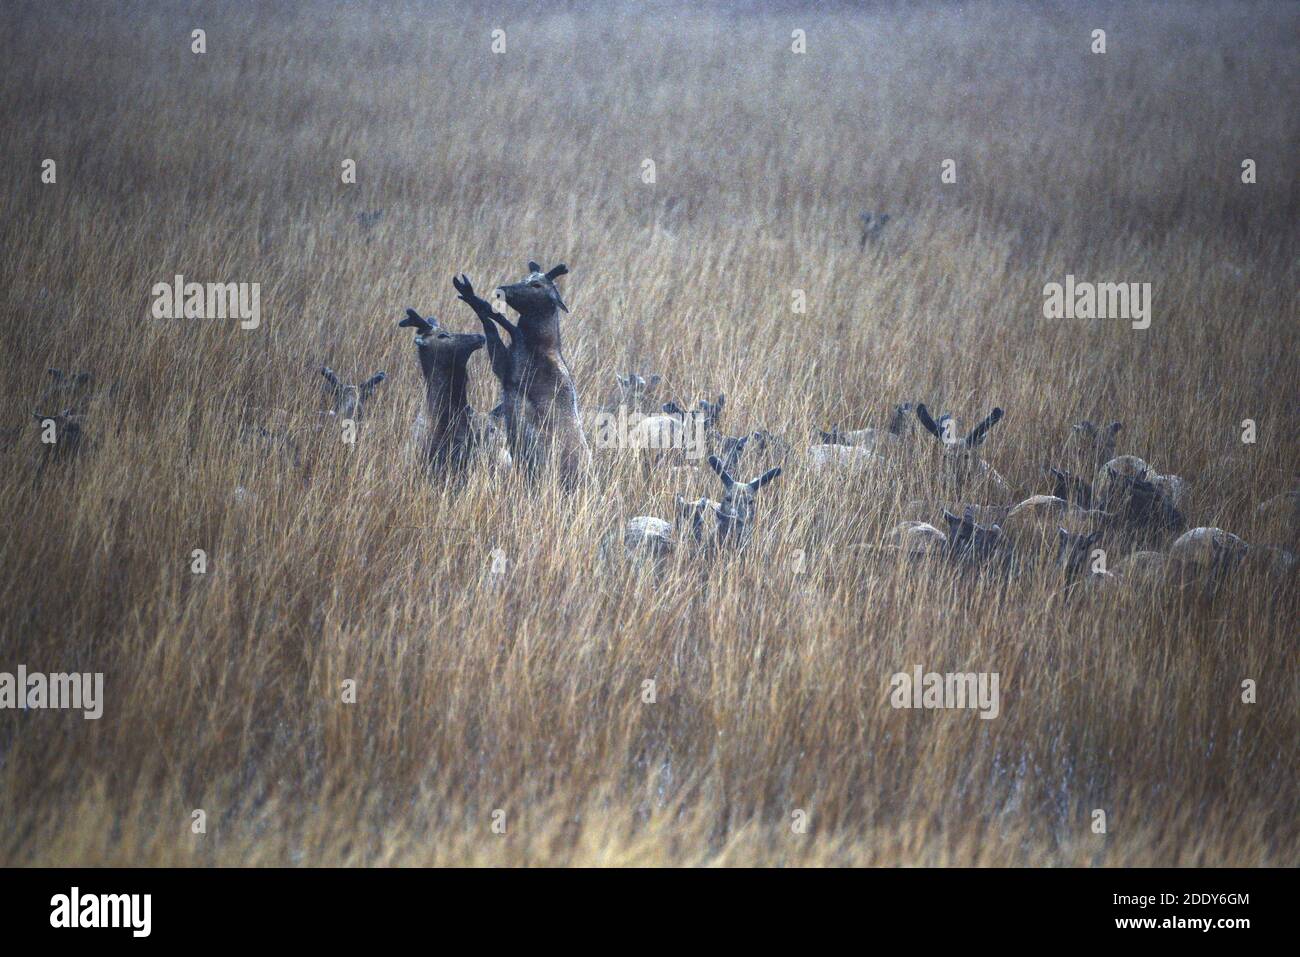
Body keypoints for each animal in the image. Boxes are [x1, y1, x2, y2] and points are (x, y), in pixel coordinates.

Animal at [452, 264, 589, 487]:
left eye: (537, 284)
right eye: (525, 278)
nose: (502, 289)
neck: (539, 344)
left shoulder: (509, 371)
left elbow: (495, 324)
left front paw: (471, 295)